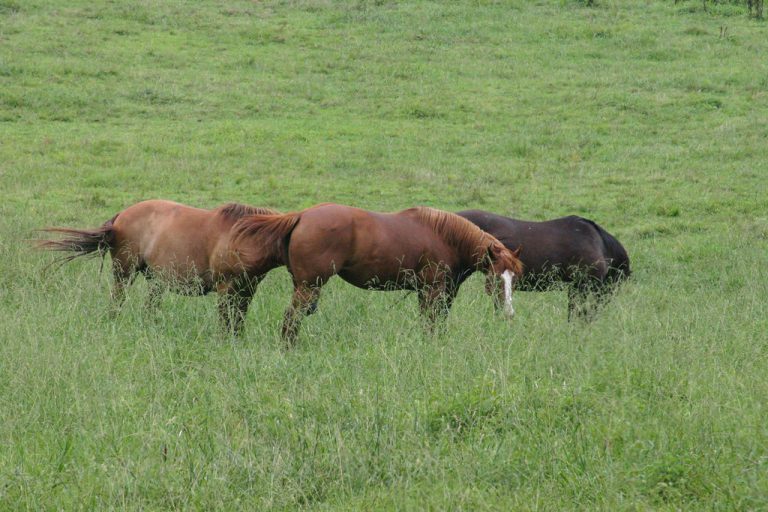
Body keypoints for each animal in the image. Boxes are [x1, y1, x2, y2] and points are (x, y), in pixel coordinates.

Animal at [36, 199, 279, 334]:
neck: (242, 237)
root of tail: (120, 217)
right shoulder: (226, 288)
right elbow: (226, 318)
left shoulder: (247, 289)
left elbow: (238, 318)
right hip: (124, 273)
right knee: (117, 300)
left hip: (155, 281)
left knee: (149, 307)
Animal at [229, 203, 524, 344]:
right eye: (495, 280)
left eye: (513, 279)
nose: (509, 314)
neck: (444, 236)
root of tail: (302, 216)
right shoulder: (433, 290)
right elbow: (431, 322)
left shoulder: (431, 292)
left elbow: (433, 322)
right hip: (308, 286)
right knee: (291, 318)